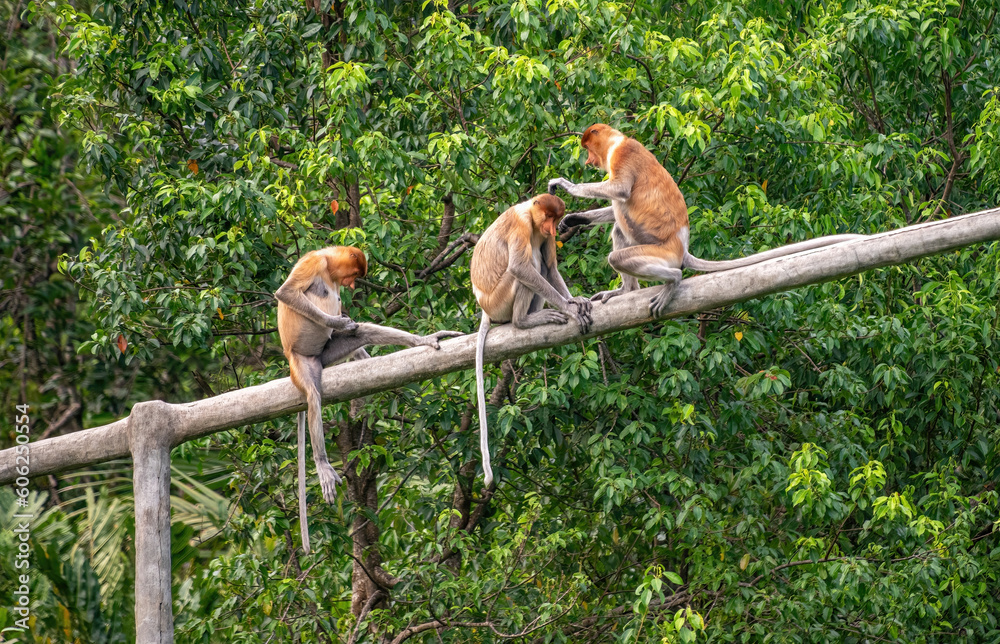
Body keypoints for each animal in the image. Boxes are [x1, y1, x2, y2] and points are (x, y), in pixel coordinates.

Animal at [276, 245, 461, 552]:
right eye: (352, 275)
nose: (351, 287)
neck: (327, 267)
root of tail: (293, 359)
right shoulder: (312, 262)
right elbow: (287, 293)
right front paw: (336, 320)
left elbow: (356, 327)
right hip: (303, 361)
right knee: (313, 396)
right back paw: (323, 464)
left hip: (325, 353)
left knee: (361, 331)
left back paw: (421, 340)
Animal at [469, 193, 593, 487]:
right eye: (547, 217)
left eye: (556, 219)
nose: (551, 229)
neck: (531, 215)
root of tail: (485, 307)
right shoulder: (521, 226)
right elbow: (521, 267)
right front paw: (569, 308)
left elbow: (551, 266)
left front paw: (575, 301)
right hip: (500, 299)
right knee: (528, 266)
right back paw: (523, 321)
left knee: (541, 264)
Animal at [548, 124, 866, 316]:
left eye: (589, 148)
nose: (589, 161)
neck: (618, 140)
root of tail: (683, 248)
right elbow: (614, 204)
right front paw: (573, 220)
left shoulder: (623, 156)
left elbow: (620, 191)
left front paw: (565, 185)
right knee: (619, 226)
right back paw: (624, 291)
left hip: (662, 254)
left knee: (623, 252)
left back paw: (671, 282)